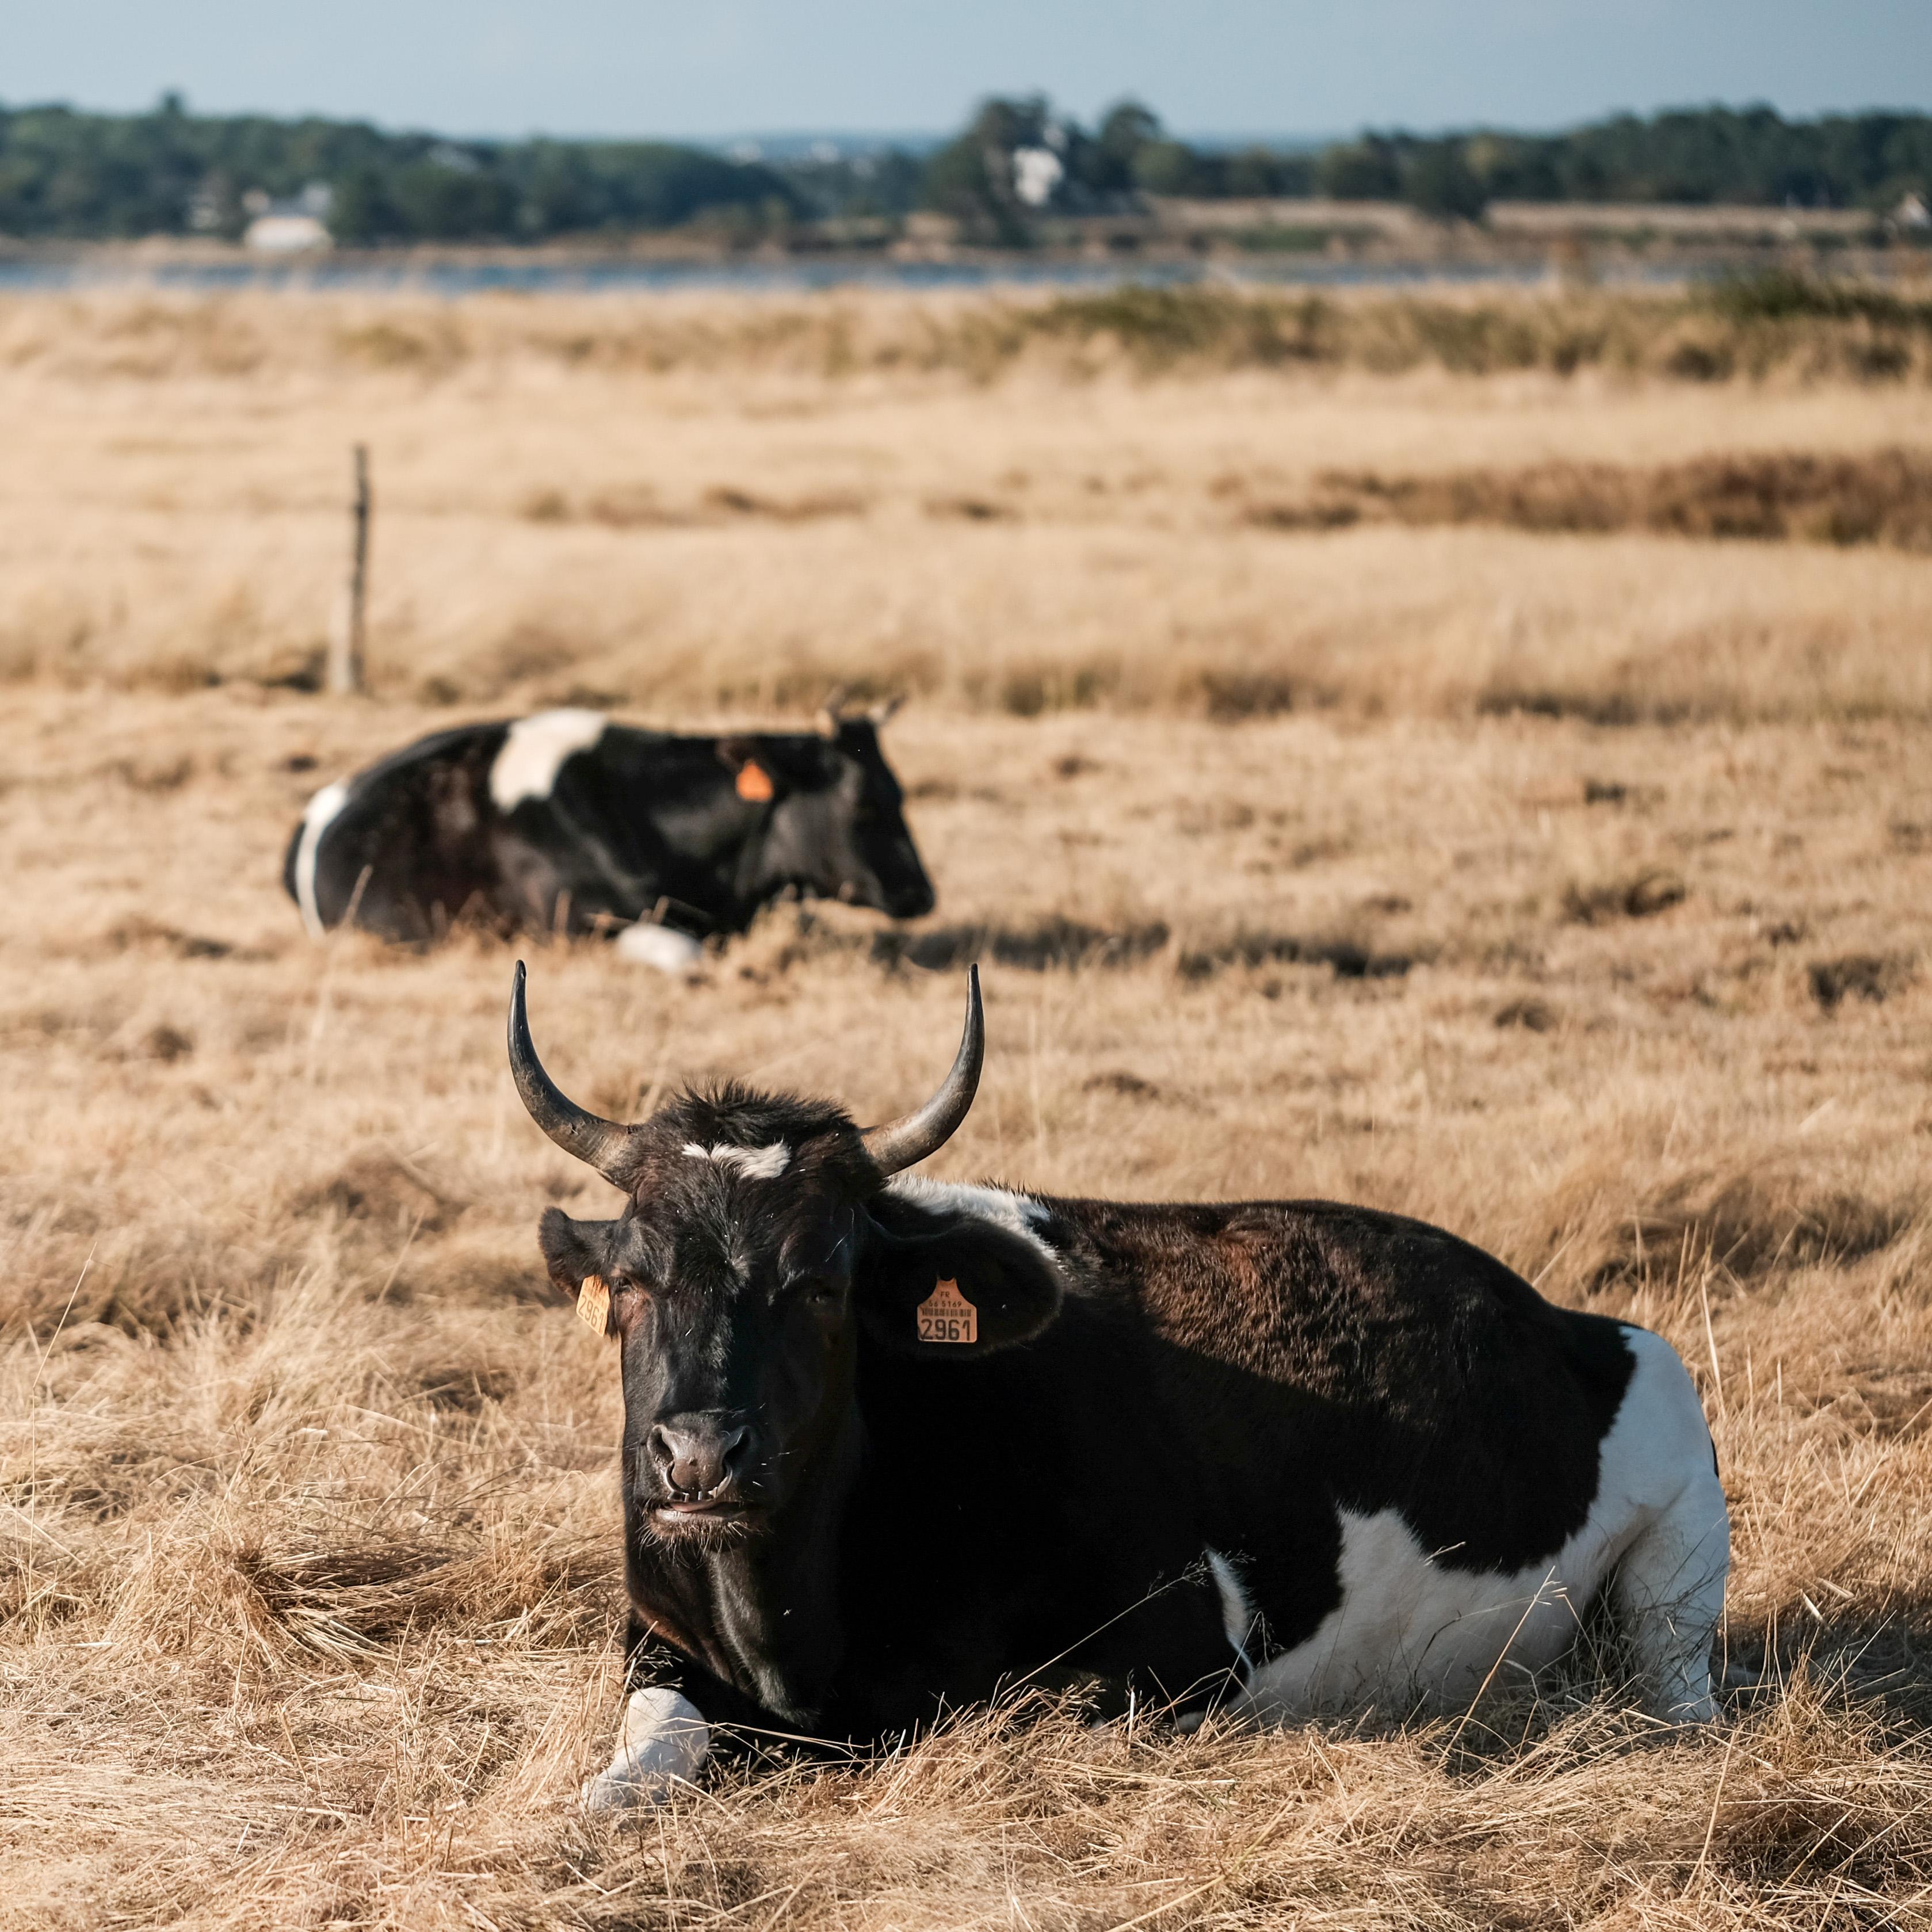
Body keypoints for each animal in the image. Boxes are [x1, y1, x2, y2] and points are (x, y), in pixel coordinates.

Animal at [507, 964, 1729, 1810]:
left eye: (821, 1281)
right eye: (632, 1281)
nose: (699, 1455)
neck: (795, 1632)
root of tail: (1558, 1316)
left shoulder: (1178, 1649)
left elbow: (1022, 1719)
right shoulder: (652, 1635)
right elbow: (636, 1763)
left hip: (1680, 1548)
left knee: (1677, 1687)